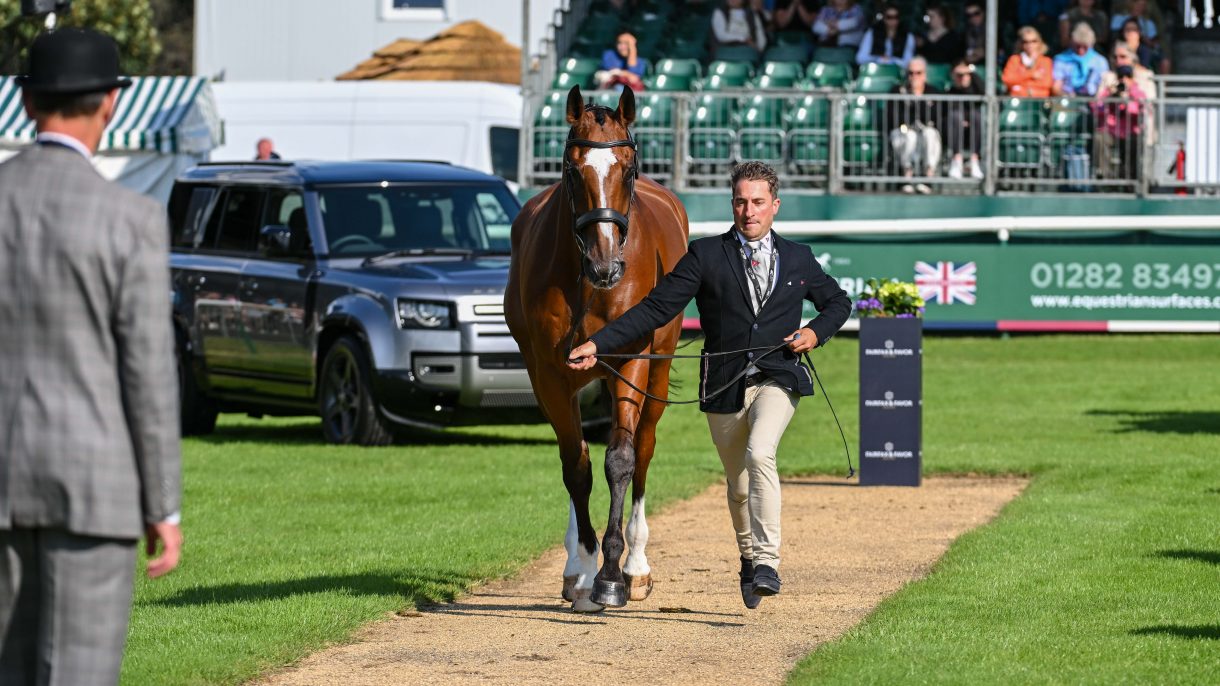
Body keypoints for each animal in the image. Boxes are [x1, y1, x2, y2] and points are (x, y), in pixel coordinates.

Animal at [505, 85, 690, 612]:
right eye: (572, 170)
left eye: (627, 169)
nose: (606, 264)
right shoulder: (549, 375)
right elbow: (577, 466)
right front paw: (587, 571)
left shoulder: (632, 363)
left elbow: (620, 460)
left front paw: (612, 574)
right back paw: (576, 568)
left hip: (659, 369)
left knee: (643, 448)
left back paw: (637, 566)